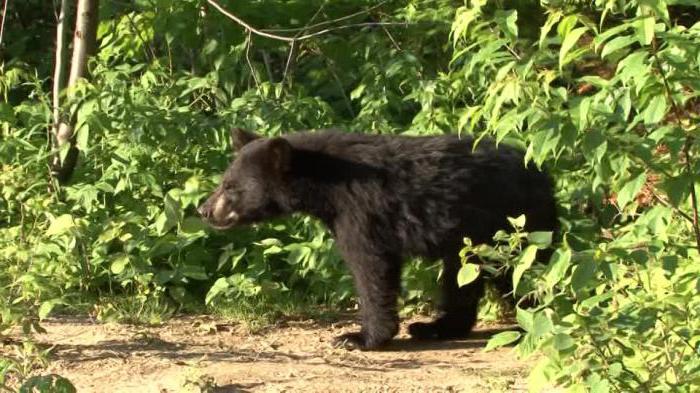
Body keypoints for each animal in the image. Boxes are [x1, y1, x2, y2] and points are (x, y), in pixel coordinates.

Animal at [198, 129, 556, 350]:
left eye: (230, 187)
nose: (203, 210)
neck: (324, 183)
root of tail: (542, 173)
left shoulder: (361, 211)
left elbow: (370, 267)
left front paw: (359, 337)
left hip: (517, 225)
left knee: (526, 272)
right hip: (473, 239)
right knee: (461, 277)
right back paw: (435, 327)